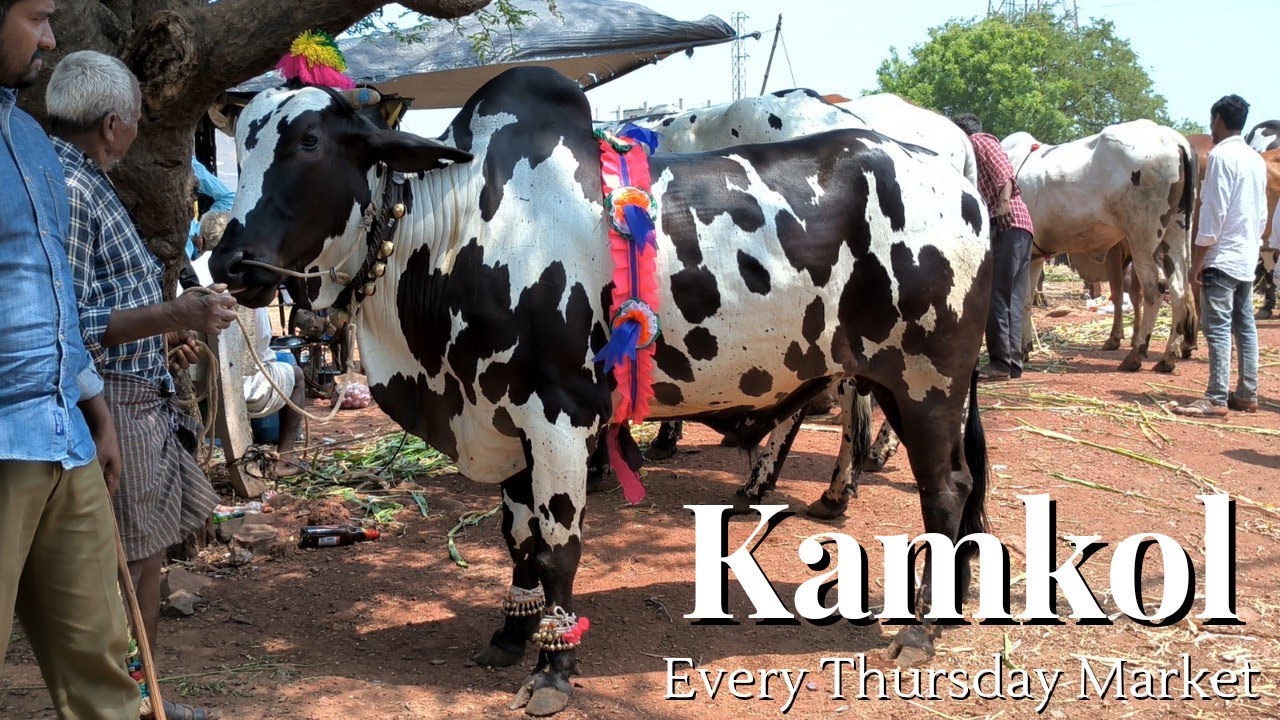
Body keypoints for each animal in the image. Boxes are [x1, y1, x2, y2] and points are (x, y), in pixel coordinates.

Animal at [209, 67, 993, 716]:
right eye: (241, 147)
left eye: (309, 141)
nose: (228, 261)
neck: (461, 228)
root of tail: (956, 177)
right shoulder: (506, 422)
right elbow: (518, 537)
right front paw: (512, 632)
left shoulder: (559, 415)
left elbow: (559, 543)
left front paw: (554, 669)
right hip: (904, 383)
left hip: (926, 382)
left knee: (946, 489)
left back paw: (920, 628)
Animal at [1002, 120, 1198, 372]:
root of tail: (1175, 140)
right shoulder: (1035, 255)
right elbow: (1026, 300)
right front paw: (1025, 347)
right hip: (1175, 232)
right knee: (1178, 289)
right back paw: (1167, 357)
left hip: (1143, 238)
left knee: (1154, 289)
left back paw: (1135, 354)